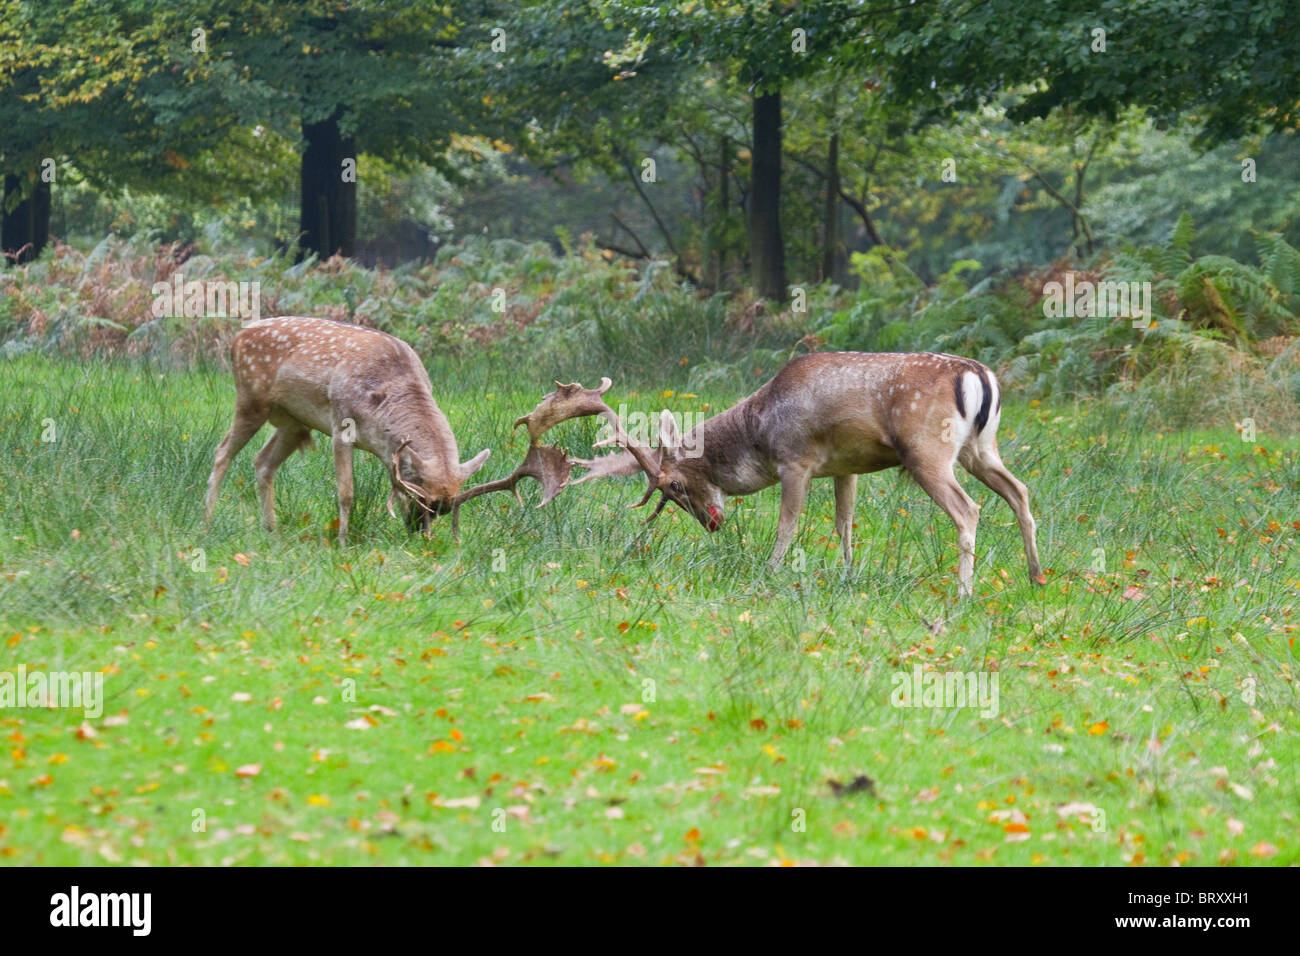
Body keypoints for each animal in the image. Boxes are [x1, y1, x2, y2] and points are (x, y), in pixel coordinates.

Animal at [205, 316, 551, 546]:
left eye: (441, 511)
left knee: (263, 462)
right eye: (420, 498)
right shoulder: (340, 424)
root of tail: (237, 337)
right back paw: (207, 520)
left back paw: (272, 531)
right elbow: (346, 492)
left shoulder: (390, 452)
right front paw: (342, 542)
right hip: (251, 399)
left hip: (294, 421)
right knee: (221, 452)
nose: (419, 534)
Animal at [515, 353, 1044, 597]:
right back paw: (1036, 575)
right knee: (1019, 491)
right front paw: (849, 573)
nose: (712, 523)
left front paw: (769, 570)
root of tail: (980, 376)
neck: (758, 431)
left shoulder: (797, 460)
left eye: (674, 485)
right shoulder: (846, 467)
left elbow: (788, 523)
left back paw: (964, 591)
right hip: (981, 448)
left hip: (927, 451)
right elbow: (844, 522)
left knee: (969, 508)